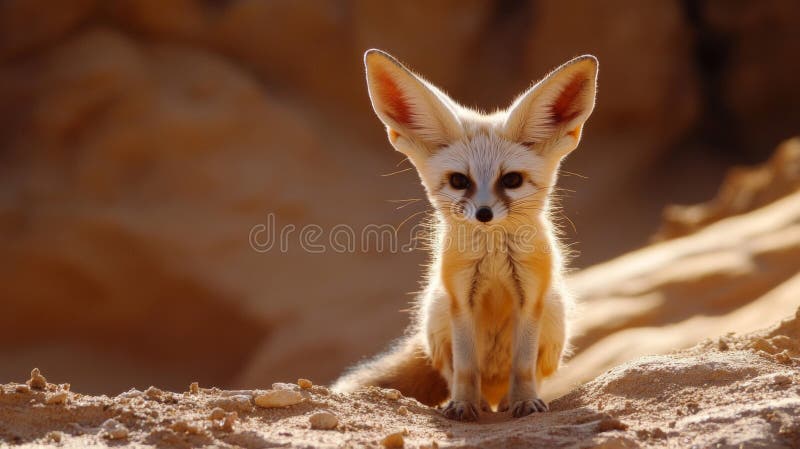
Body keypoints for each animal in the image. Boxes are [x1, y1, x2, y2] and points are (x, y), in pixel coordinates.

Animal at [333, 49, 598, 421]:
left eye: (511, 180)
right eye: (459, 181)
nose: (483, 214)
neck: (494, 260)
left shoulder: (530, 296)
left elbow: (523, 367)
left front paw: (525, 402)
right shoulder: (460, 298)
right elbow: (466, 368)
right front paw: (463, 405)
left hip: (554, 315)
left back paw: (507, 403)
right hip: (436, 313)